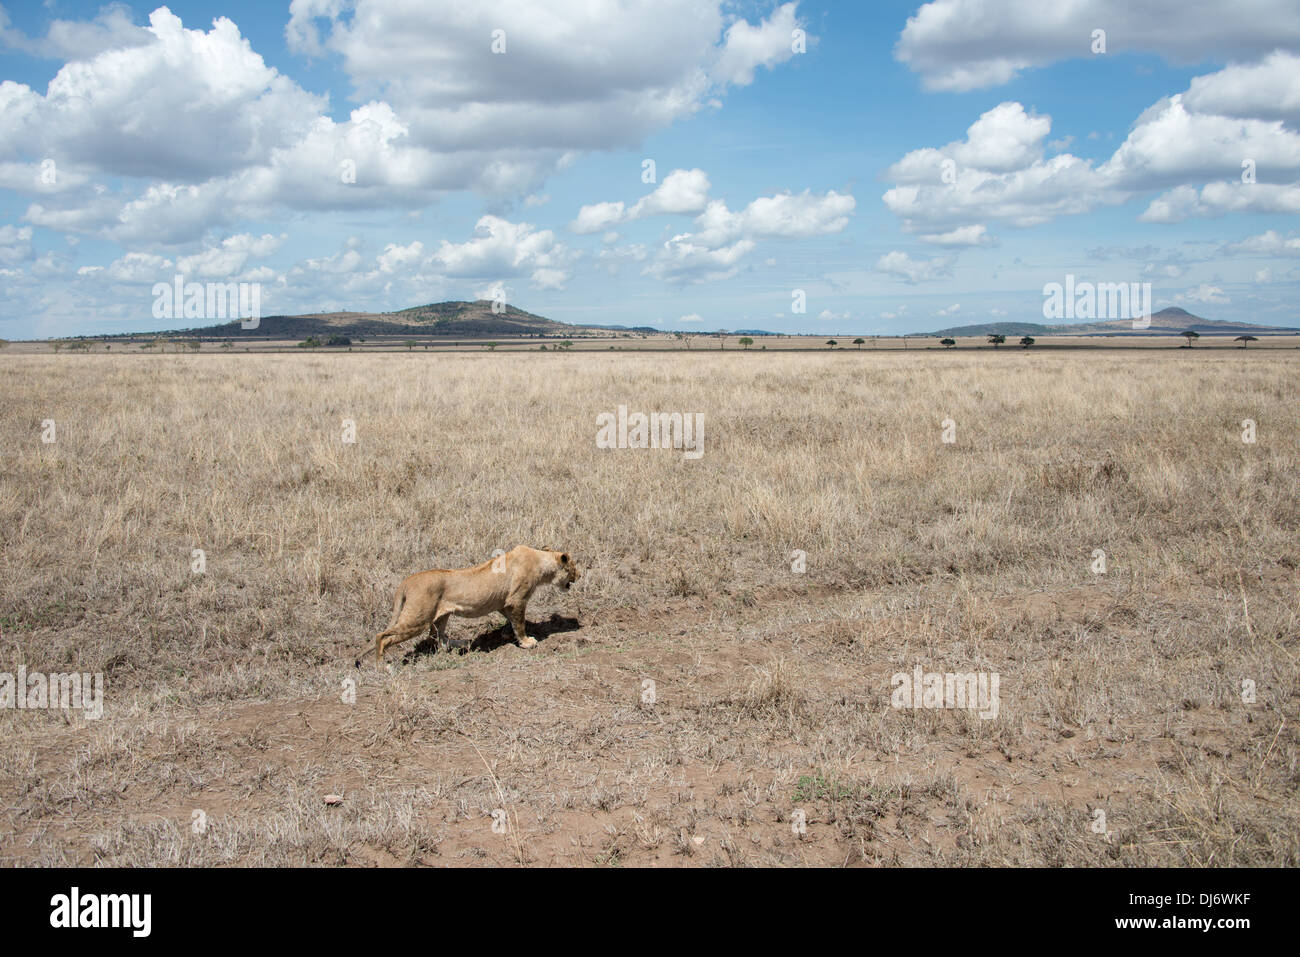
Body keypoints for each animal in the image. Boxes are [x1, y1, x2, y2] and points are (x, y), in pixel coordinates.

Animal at [358, 546, 580, 666]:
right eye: (574, 566)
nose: (580, 575)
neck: (541, 562)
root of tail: (407, 580)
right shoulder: (516, 600)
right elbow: (520, 624)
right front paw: (526, 642)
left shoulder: (503, 603)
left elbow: (511, 621)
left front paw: (507, 634)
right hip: (418, 618)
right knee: (382, 637)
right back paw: (382, 666)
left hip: (441, 615)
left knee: (437, 637)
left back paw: (459, 644)